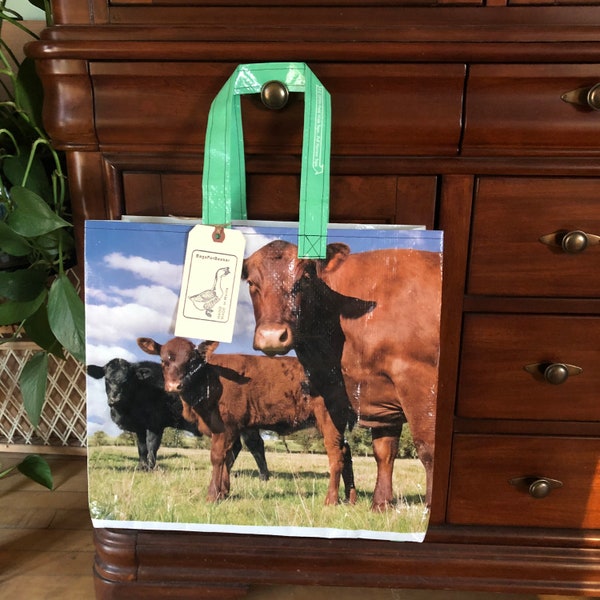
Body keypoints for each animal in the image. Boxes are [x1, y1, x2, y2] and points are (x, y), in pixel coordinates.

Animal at [136, 338, 356, 506]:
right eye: (163, 360)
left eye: (192, 362)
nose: (174, 385)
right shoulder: (236, 427)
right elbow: (229, 457)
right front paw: (223, 492)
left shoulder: (225, 426)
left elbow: (218, 457)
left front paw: (212, 495)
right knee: (346, 452)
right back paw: (350, 498)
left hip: (329, 420)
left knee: (336, 455)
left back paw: (331, 499)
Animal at [241, 240, 442, 510]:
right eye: (252, 283)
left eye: (305, 279)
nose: (272, 336)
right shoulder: (370, 394)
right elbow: (383, 451)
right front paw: (380, 505)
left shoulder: (417, 379)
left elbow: (427, 448)